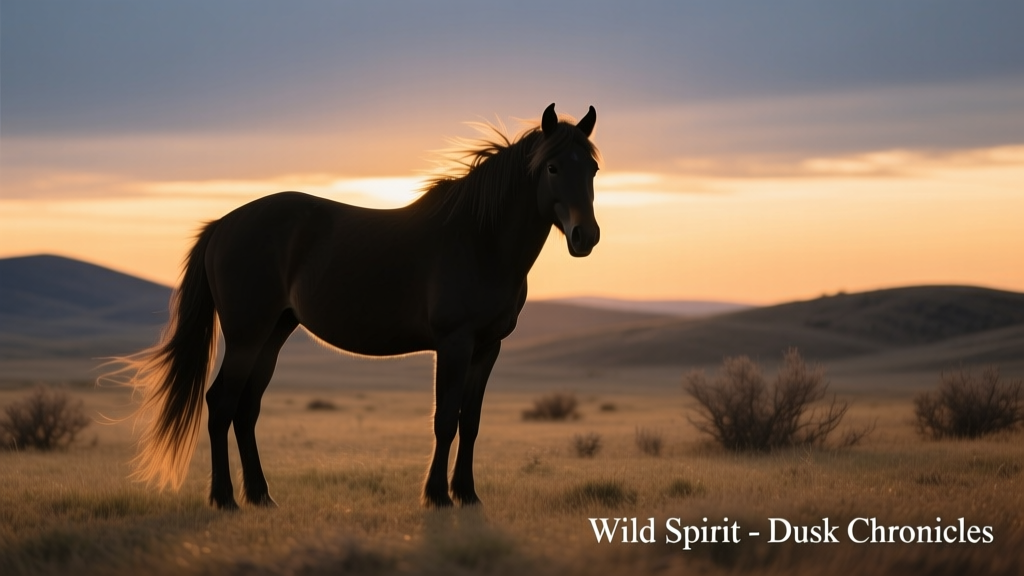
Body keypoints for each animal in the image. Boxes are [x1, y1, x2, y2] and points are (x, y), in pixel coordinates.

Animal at [117, 103, 601, 509]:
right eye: (553, 166)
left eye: (594, 169)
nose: (586, 236)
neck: (480, 241)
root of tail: (222, 224)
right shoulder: (454, 343)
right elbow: (446, 418)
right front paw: (437, 496)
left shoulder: (487, 347)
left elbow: (472, 421)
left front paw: (467, 494)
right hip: (245, 335)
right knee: (221, 404)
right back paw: (224, 499)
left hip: (274, 333)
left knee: (246, 409)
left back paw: (261, 496)